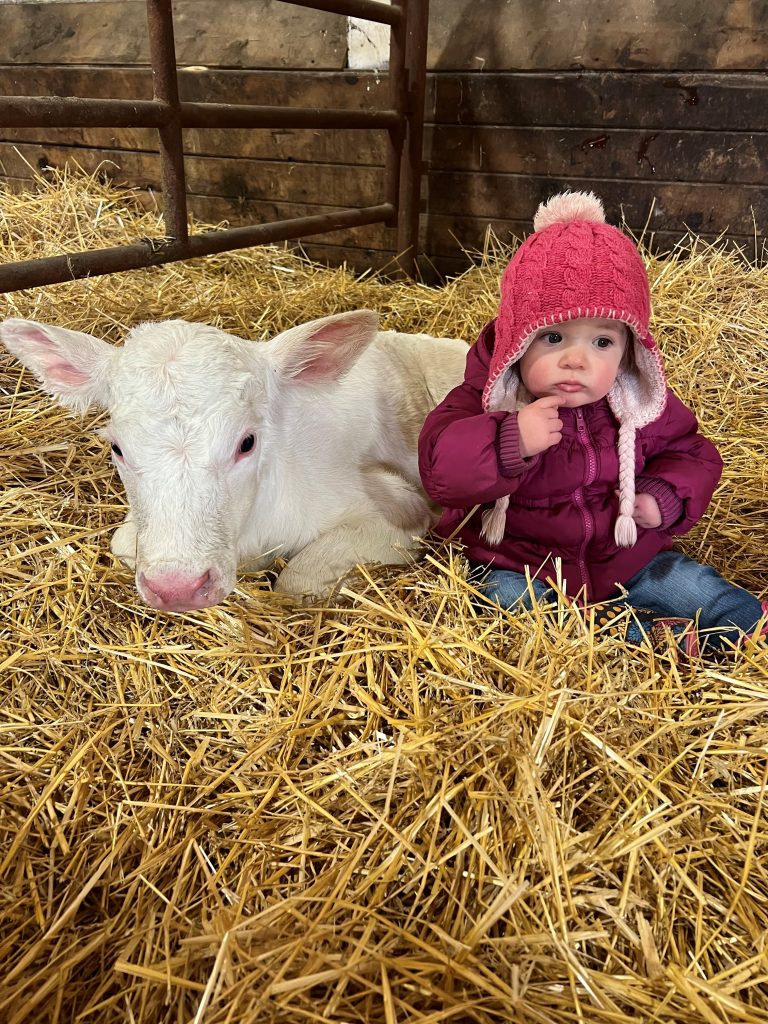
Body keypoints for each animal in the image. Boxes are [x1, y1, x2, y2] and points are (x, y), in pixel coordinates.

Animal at [1, 311, 468, 610]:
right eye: (117, 448)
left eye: (247, 442)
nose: (179, 588)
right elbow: (121, 544)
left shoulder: (395, 508)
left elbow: (296, 582)